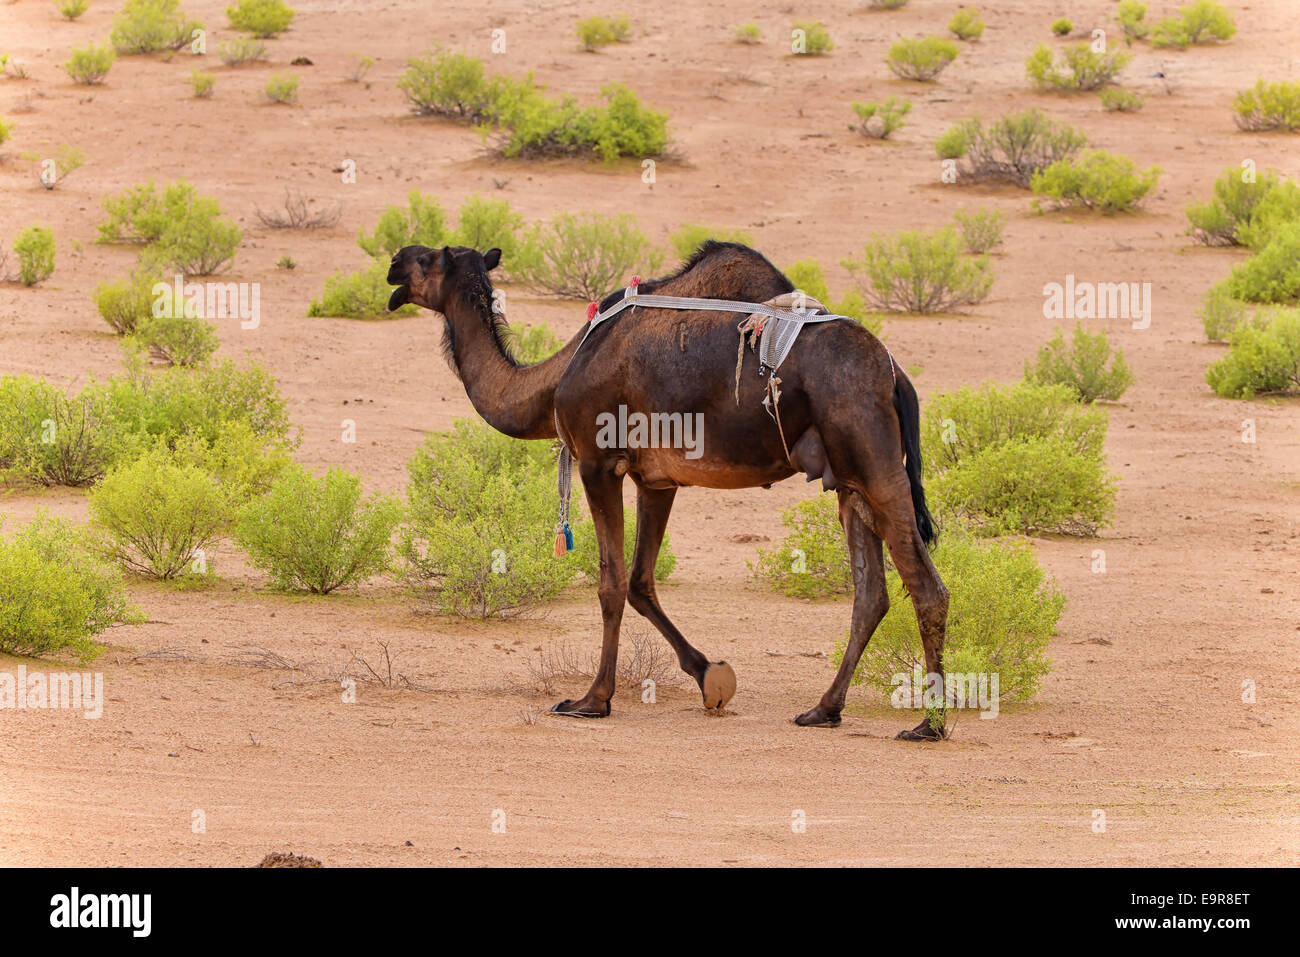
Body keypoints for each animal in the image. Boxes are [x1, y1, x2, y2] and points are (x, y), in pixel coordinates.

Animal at [387, 240, 950, 740]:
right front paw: (711, 677)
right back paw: (823, 709)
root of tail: (895, 373)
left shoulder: (598, 461)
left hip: (874, 459)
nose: (393, 262)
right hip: (849, 481)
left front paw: (592, 700)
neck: (554, 377)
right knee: (871, 592)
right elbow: (641, 581)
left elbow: (611, 583)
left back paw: (929, 724)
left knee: (926, 586)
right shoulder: (656, 479)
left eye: (429, 257)